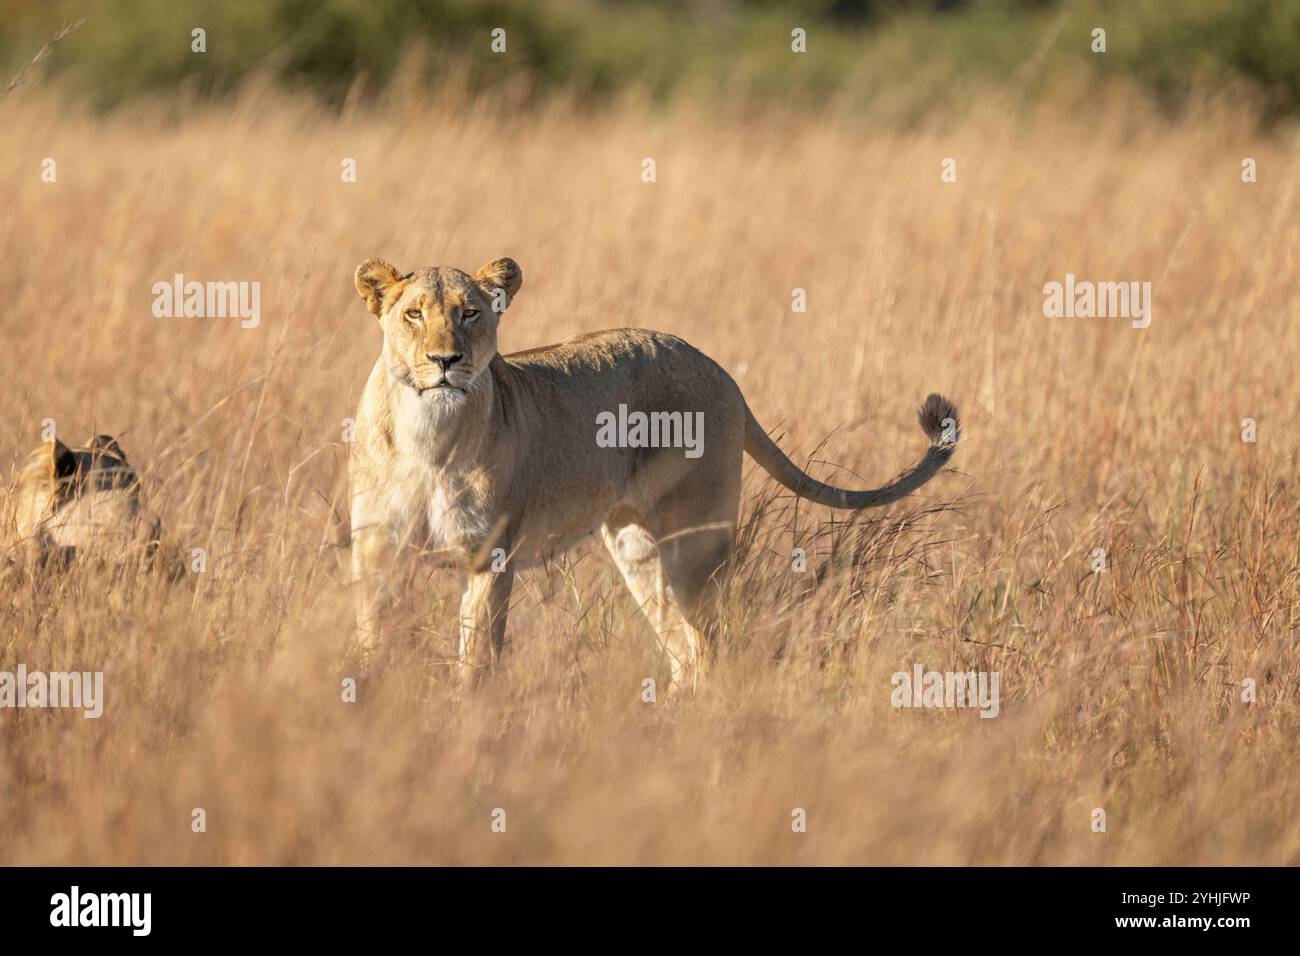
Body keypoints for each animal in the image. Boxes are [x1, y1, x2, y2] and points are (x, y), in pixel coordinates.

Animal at [349, 256, 958, 689]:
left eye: (470, 313)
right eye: (413, 314)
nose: (445, 361)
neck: (429, 436)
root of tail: (721, 372)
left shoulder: (488, 556)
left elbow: (476, 658)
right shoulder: (378, 553)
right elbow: (373, 640)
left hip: (694, 542)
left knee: (709, 647)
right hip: (635, 544)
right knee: (681, 649)